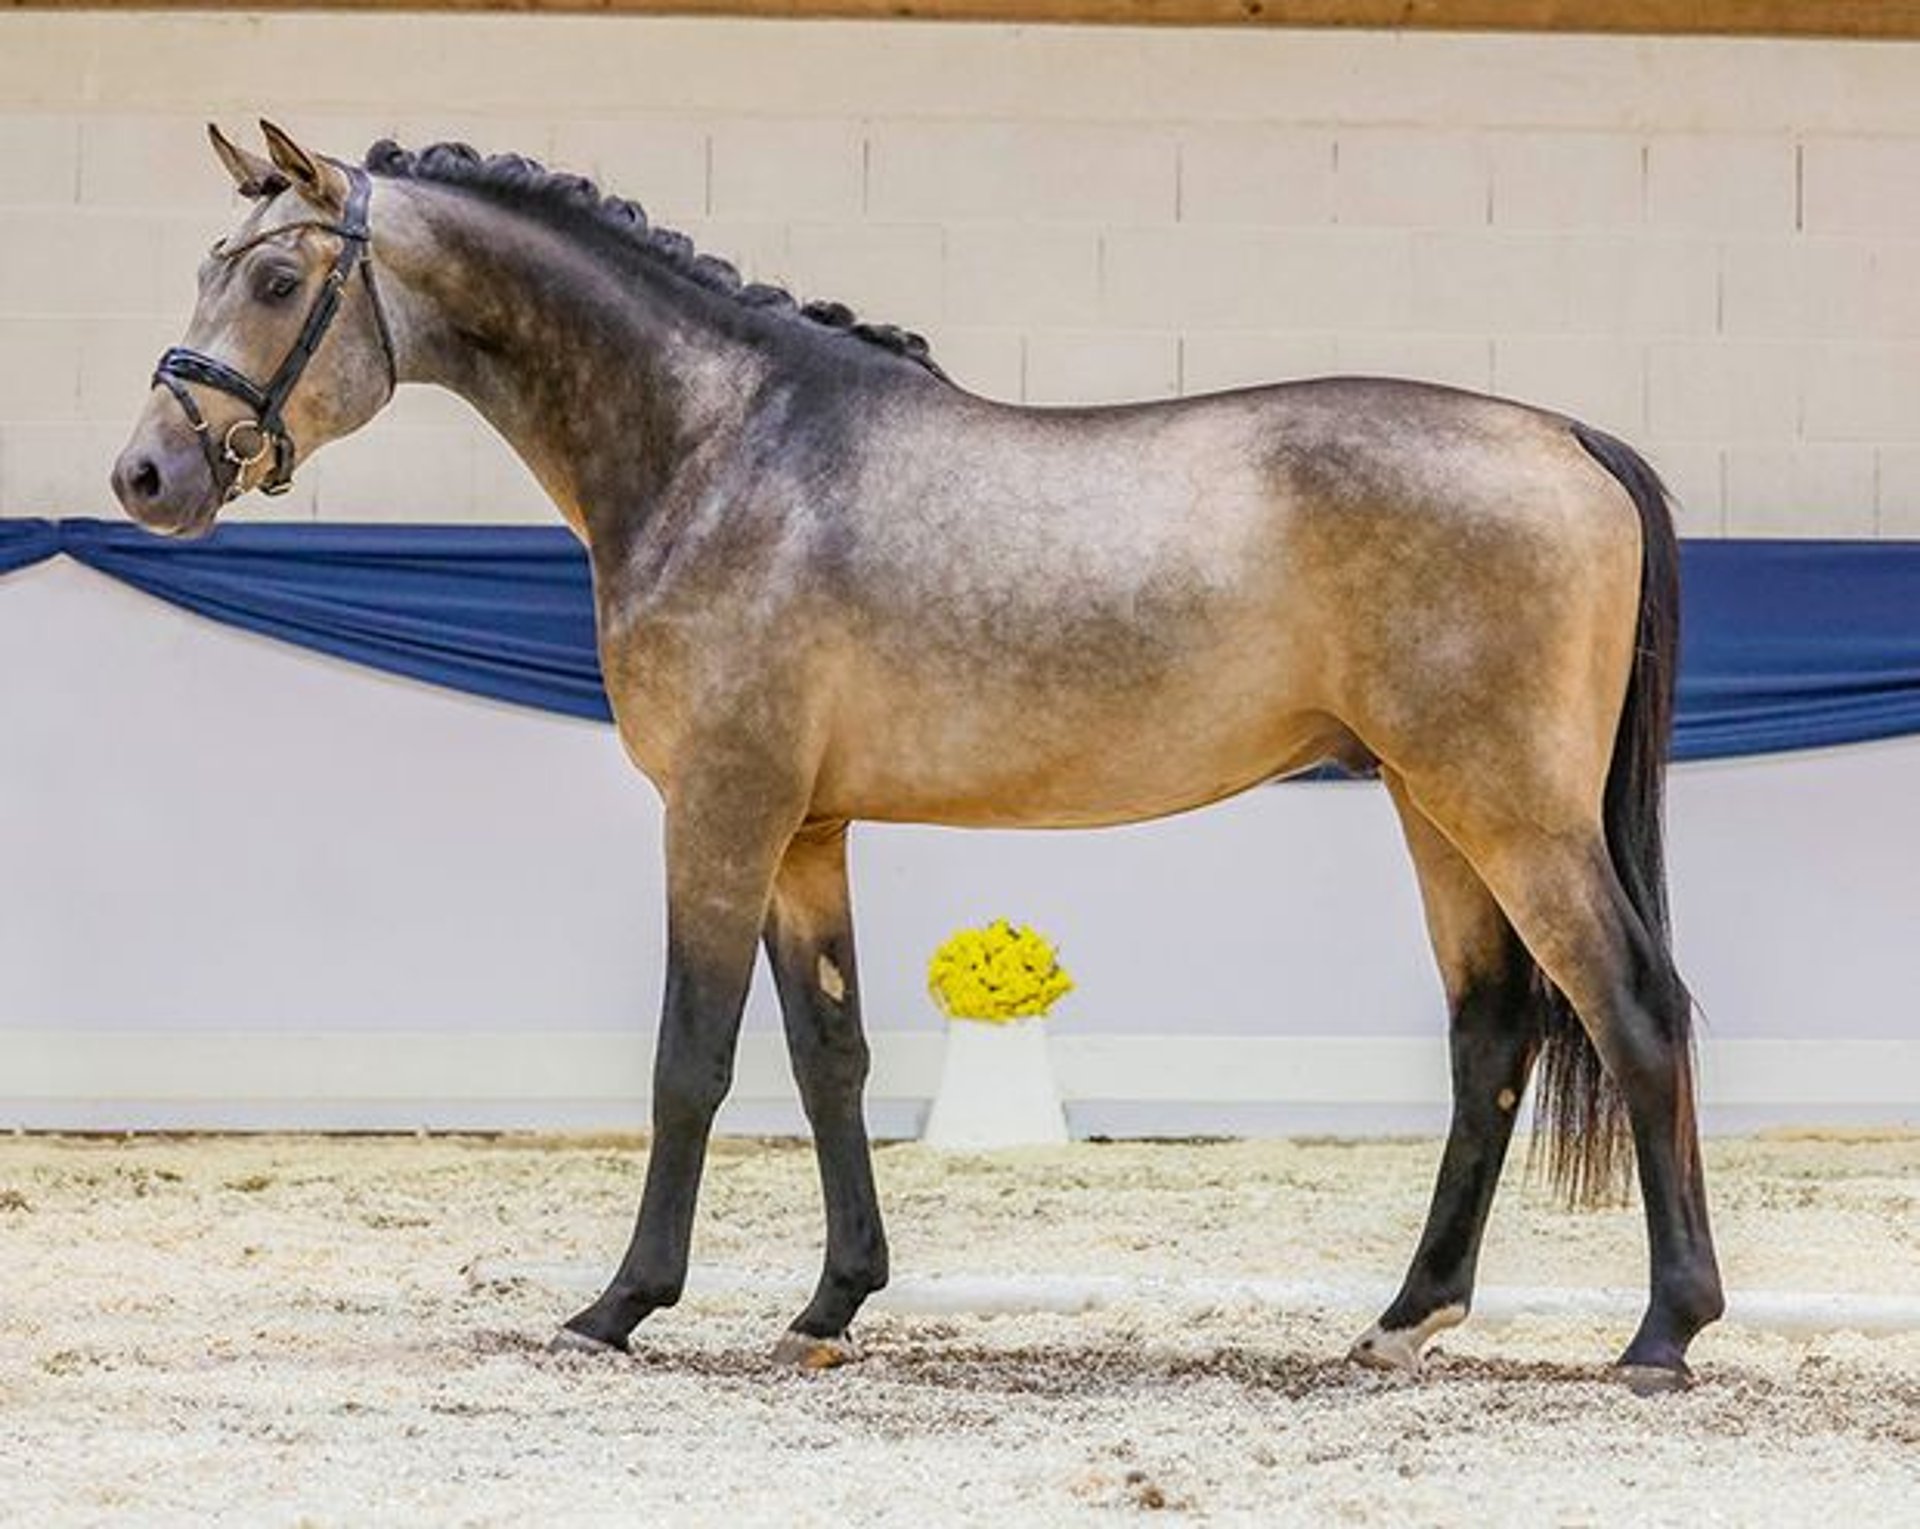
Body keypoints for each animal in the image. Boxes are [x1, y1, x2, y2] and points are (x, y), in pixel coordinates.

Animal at [111, 122, 1723, 1391]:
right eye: (204, 266)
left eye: (274, 280)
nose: (146, 474)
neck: (722, 450)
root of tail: (1567, 438)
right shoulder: (807, 831)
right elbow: (831, 1054)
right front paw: (832, 1305)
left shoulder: (723, 811)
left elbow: (689, 1057)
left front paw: (621, 1305)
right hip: (1437, 806)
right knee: (1492, 1031)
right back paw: (1404, 1318)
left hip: (1511, 807)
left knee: (1635, 1010)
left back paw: (1663, 1333)